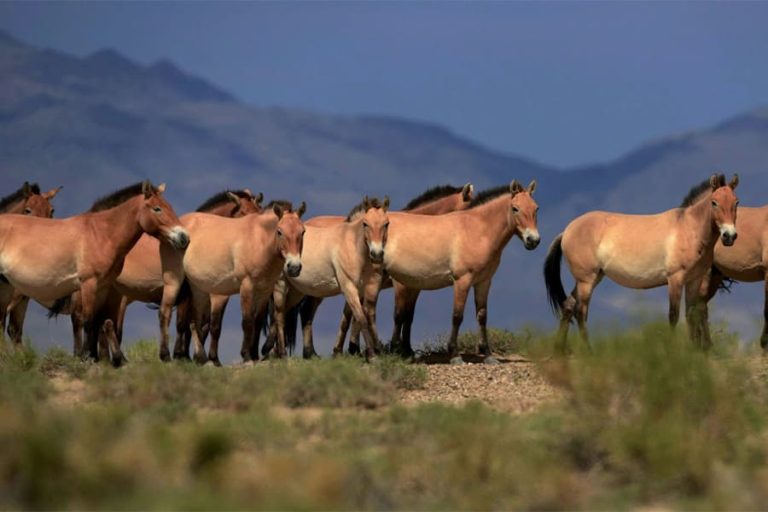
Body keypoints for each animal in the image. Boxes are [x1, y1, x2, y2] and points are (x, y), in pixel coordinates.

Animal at [89, 189, 263, 361]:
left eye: (260, 212)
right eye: (245, 213)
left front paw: (189, 355)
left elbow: (197, 325)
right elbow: (186, 324)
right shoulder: (191, 295)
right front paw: (184, 355)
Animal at [172, 200, 306, 365]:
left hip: (198, 289)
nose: (294, 267)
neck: (259, 241)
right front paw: (246, 355)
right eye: (279, 232)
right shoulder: (246, 287)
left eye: (303, 232)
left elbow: (257, 320)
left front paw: (253, 354)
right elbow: (247, 321)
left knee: (194, 320)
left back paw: (201, 357)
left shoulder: (264, 290)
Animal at [266, 196, 391, 360]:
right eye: (365, 223)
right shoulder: (349, 287)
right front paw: (372, 355)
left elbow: (359, 318)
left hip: (296, 292)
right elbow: (361, 318)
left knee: (285, 315)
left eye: (386, 223)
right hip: (280, 287)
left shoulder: (364, 289)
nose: (377, 254)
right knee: (279, 316)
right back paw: (283, 354)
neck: (351, 246)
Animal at [367, 180, 539, 364]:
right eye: (515, 208)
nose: (533, 240)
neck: (477, 230)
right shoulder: (462, 281)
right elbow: (457, 316)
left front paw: (488, 354)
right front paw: (454, 354)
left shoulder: (484, 281)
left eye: (536, 208)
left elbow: (482, 316)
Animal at [544, 173, 739, 352]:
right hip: (586, 280)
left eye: (736, 202)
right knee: (580, 312)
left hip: (591, 279)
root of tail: (567, 231)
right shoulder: (675, 279)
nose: (729, 236)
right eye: (714, 202)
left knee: (568, 306)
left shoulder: (694, 280)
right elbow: (673, 315)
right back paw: (588, 350)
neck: (689, 230)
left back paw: (559, 349)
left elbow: (691, 314)